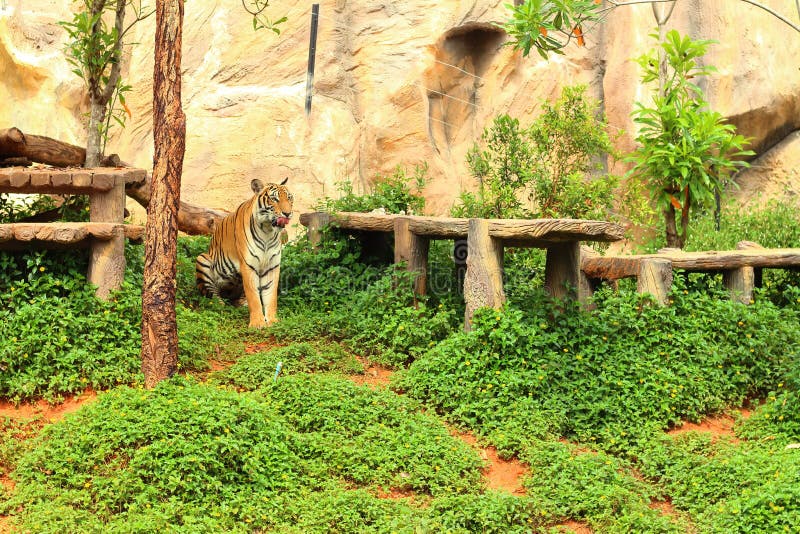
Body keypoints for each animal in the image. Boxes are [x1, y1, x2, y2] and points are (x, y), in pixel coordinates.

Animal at [195, 178, 294, 328]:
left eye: (289, 198)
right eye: (274, 199)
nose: (287, 214)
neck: (268, 232)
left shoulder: (272, 266)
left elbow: (271, 296)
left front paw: (272, 320)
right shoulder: (248, 265)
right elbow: (254, 296)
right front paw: (258, 322)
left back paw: (242, 303)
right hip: (203, 259)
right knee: (212, 293)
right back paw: (219, 304)